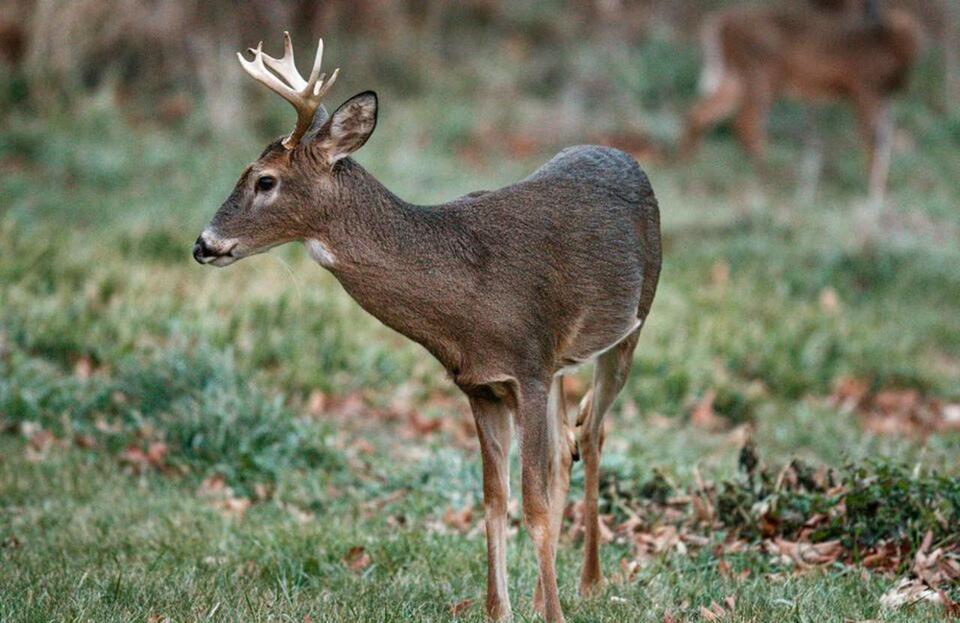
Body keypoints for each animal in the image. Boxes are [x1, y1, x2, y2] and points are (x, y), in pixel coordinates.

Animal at [192, 33, 661, 622]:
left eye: (265, 180)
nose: (202, 244)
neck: (467, 294)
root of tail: (629, 157)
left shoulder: (527, 367)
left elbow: (530, 503)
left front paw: (553, 615)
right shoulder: (483, 384)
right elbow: (494, 499)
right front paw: (501, 610)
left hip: (631, 324)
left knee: (592, 433)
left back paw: (591, 582)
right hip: (559, 363)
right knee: (562, 452)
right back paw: (542, 591)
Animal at [680, 0, 921, 204]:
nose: (876, 12)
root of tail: (718, 23)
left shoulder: (885, 96)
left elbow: (884, 141)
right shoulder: (864, 87)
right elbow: (873, 140)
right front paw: (872, 194)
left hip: (737, 76)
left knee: (698, 112)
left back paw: (687, 165)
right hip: (762, 72)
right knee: (745, 124)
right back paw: (771, 180)